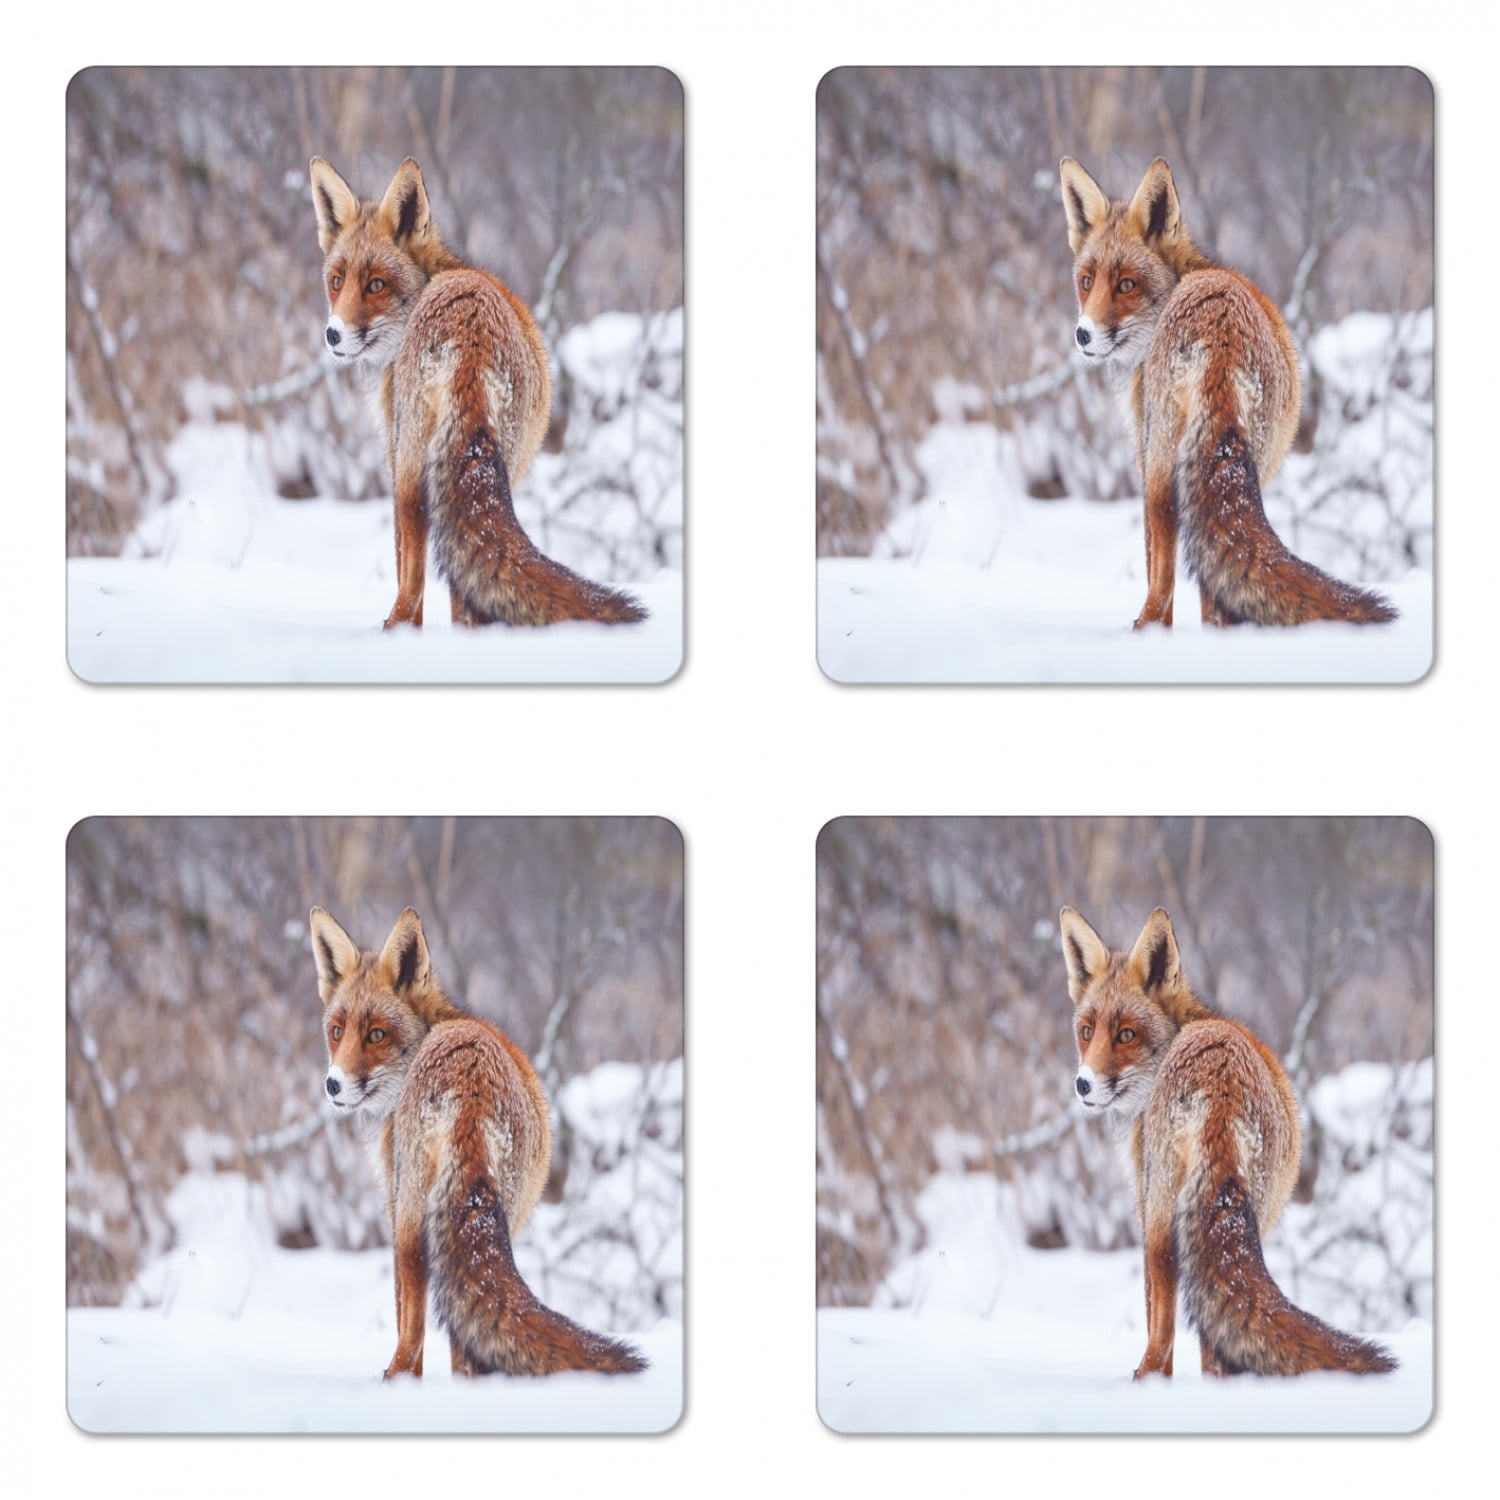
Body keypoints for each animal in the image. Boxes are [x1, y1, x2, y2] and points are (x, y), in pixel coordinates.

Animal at [309, 156, 646, 628]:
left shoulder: (395, 463)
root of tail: (472, 328)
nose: (333, 334)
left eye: (376, 285)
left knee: (412, 589)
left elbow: (407, 577)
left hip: (413, 476)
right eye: (337, 281)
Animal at [309, 905, 646, 1378]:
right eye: (337, 1031)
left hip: (413, 1226)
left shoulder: (395, 1212)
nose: (333, 1084)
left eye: (376, 1035)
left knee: (412, 1340)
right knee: (465, 1338)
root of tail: (472, 1079)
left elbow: (407, 1324)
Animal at [1058, 905, 1396, 1379]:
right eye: (1087, 1031)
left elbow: (1156, 1323)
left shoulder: (1145, 1211)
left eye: (1126, 1035)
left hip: (1163, 1225)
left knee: (1162, 1338)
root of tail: (1222, 1079)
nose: (1083, 1084)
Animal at [1059, 155, 1396, 628]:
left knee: (1162, 588)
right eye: (1087, 281)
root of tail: (1222, 328)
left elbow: (1156, 573)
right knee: (1215, 587)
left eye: (1126, 285)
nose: (1083, 334)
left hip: (1163, 474)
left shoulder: (1145, 461)